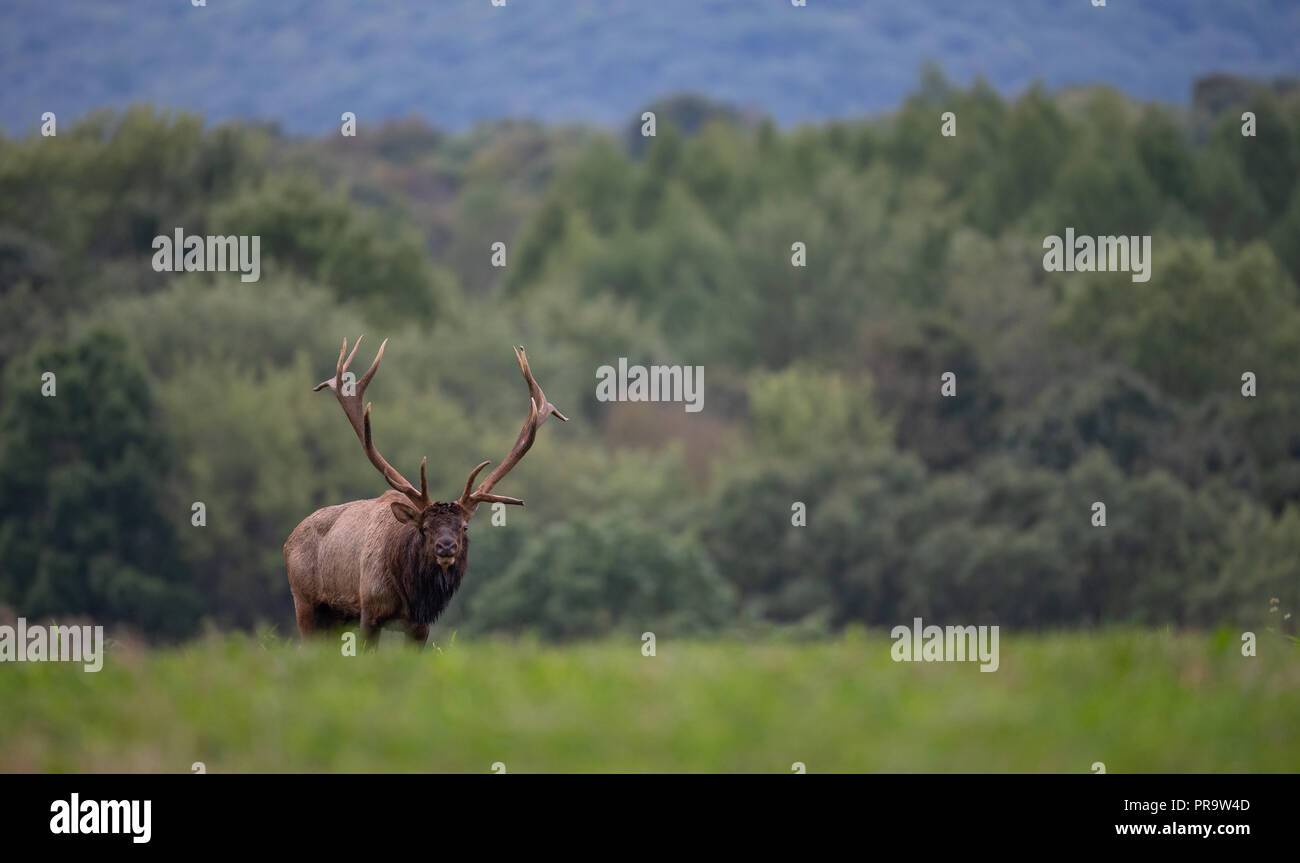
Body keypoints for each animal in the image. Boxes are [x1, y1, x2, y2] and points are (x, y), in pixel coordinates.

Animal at [284, 336, 567, 650]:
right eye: (424, 527)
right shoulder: (370, 609)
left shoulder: (421, 626)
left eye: (464, 526)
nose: (446, 547)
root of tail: (289, 538)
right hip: (306, 603)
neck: (412, 598)